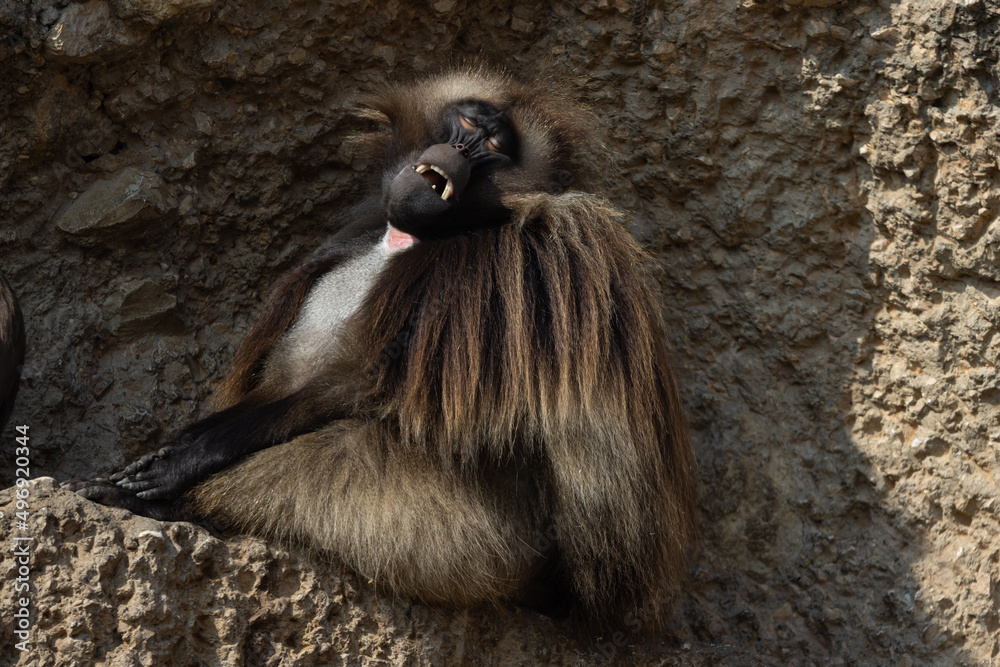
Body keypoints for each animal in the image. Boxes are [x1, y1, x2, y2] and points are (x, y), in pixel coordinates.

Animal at [65, 67, 698, 626]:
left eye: (494, 147)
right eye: (467, 121)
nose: (463, 147)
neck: (409, 240)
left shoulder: (529, 253)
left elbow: (364, 385)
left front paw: (182, 463)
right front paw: (169, 452)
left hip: (479, 536)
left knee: (338, 456)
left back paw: (171, 504)